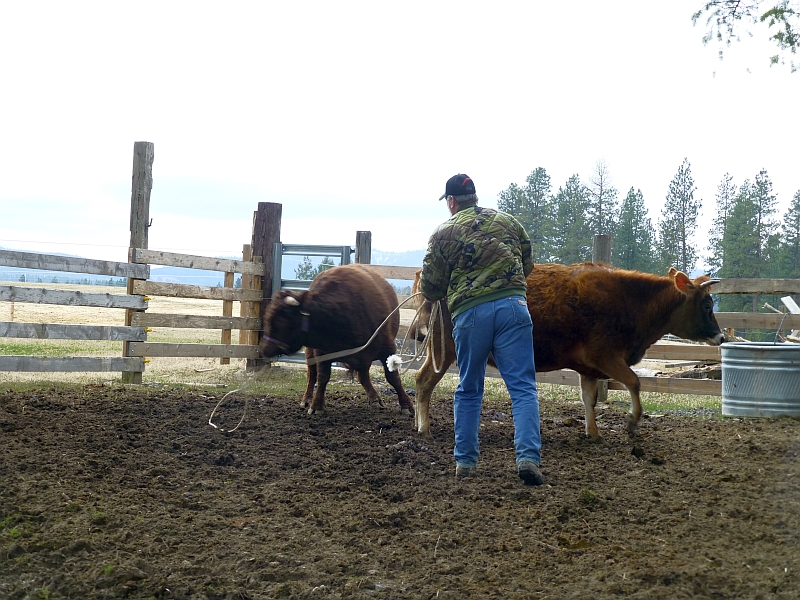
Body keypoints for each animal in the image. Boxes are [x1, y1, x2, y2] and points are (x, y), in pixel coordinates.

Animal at [259, 263, 414, 416]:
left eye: (281, 320)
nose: (264, 348)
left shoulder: (387, 348)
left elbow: (393, 378)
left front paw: (406, 404)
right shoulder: (321, 352)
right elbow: (322, 377)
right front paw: (316, 405)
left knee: (362, 375)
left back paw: (374, 398)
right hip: (310, 352)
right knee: (312, 374)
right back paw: (307, 399)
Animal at [412, 262, 724, 438]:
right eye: (707, 305)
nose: (721, 337)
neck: (632, 301)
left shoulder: (590, 369)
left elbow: (589, 400)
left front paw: (593, 433)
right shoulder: (606, 356)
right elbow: (634, 382)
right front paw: (633, 421)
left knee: (418, 379)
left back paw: (418, 423)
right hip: (445, 351)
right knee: (425, 382)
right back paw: (425, 428)